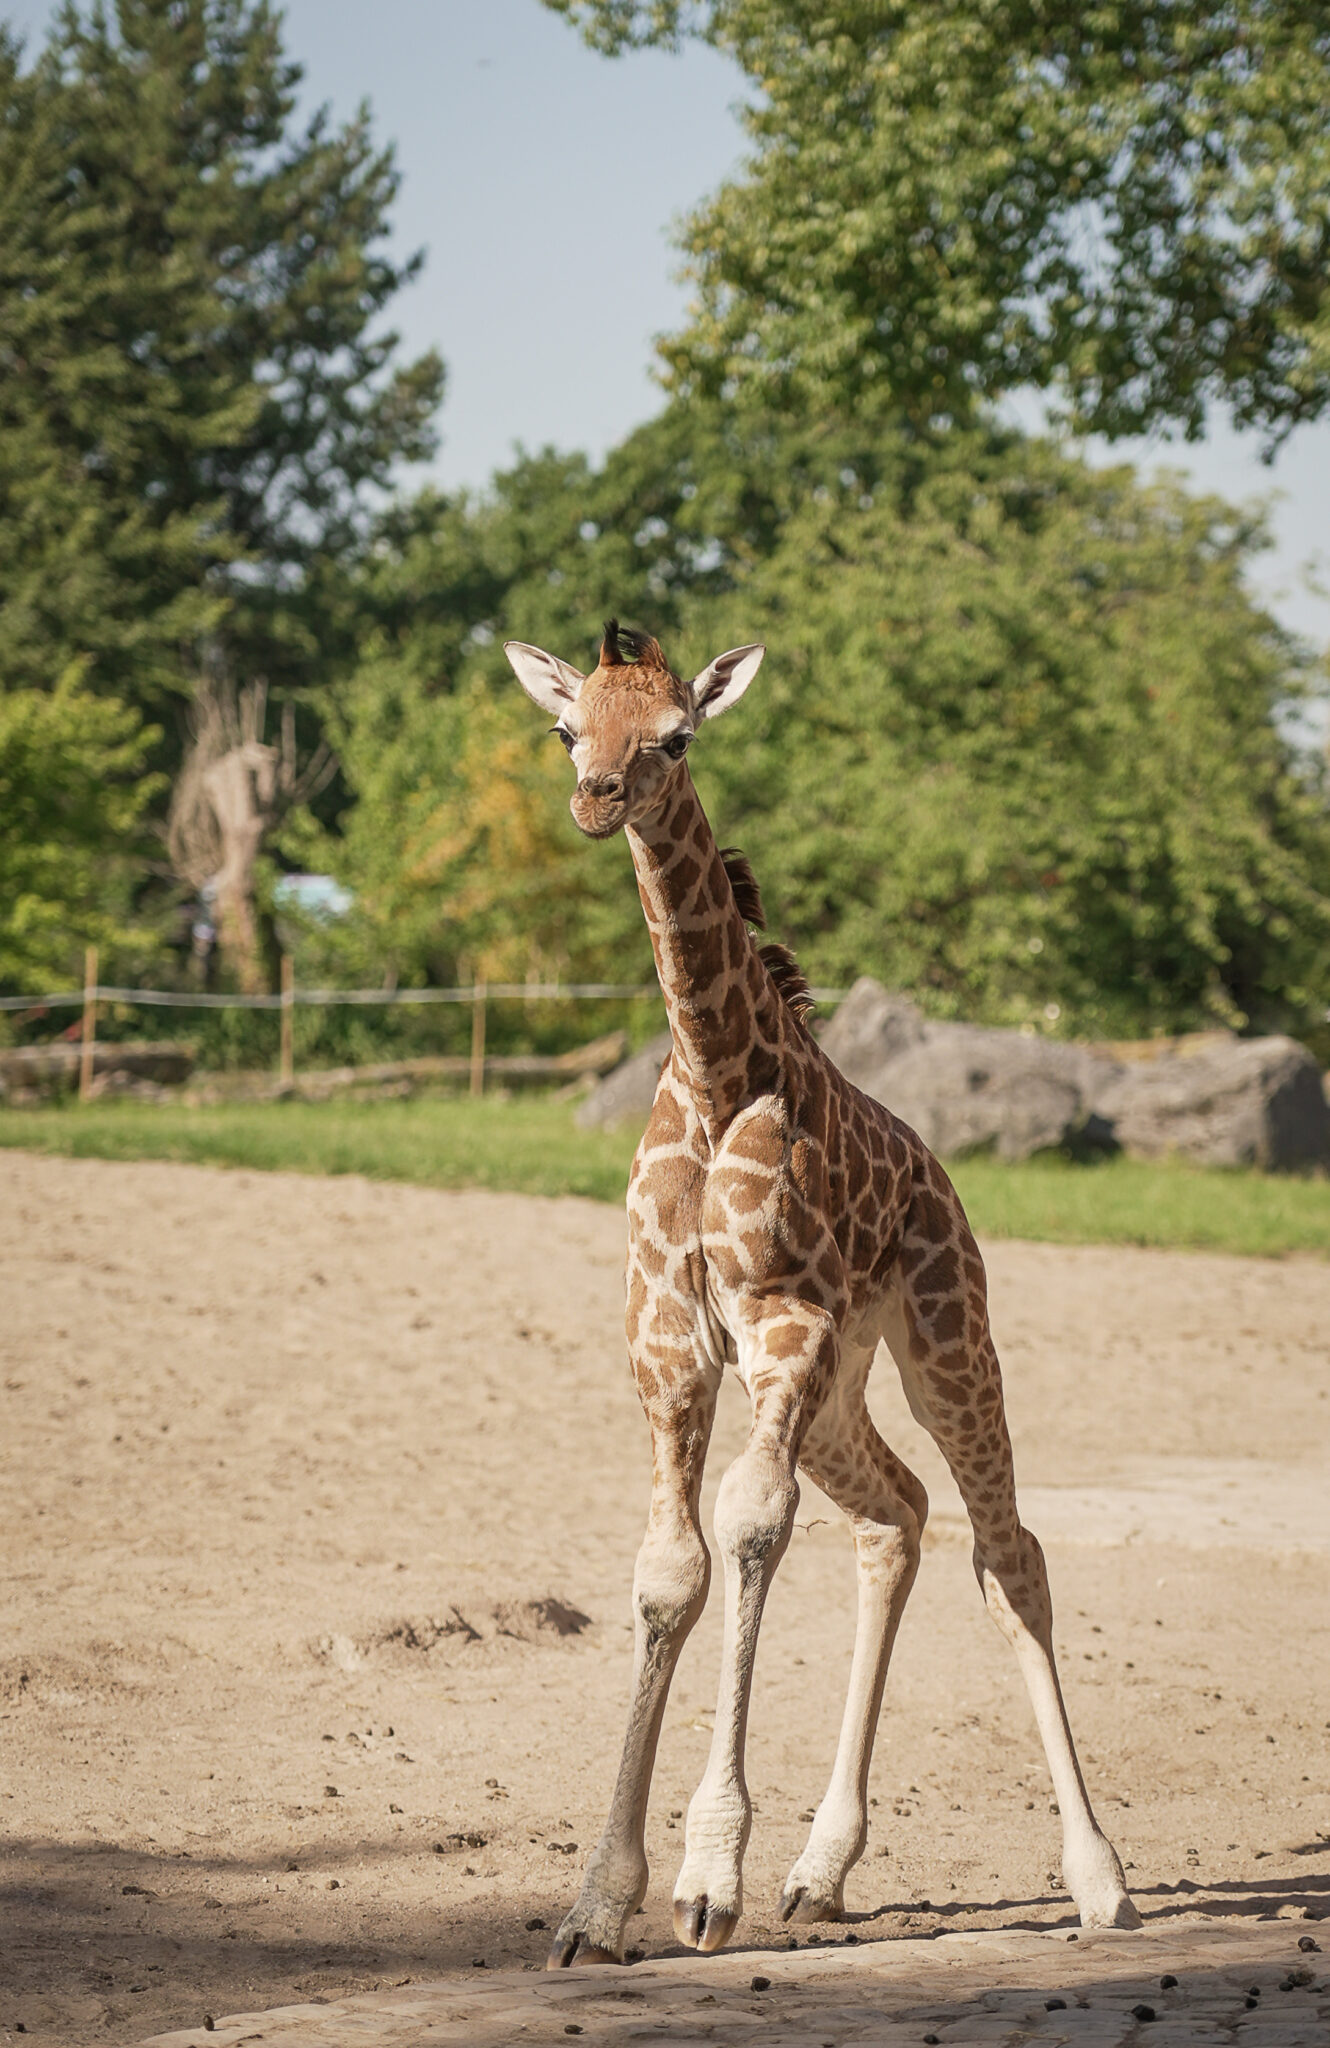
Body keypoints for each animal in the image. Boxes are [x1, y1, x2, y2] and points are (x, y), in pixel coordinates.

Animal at [503, 620, 1140, 1968]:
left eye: (675, 735)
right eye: (567, 727)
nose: (595, 797)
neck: (712, 1072)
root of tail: (943, 1173)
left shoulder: (779, 1320)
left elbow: (749, 1527)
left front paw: (704, 1880)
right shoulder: (671, 1342)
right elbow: (667, 1569)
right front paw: (599, 1902)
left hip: (946, 1335)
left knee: (1008, 1550)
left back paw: (1100, 1880)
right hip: (842, 1383)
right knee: (894, 1514)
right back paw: (820, 1867)